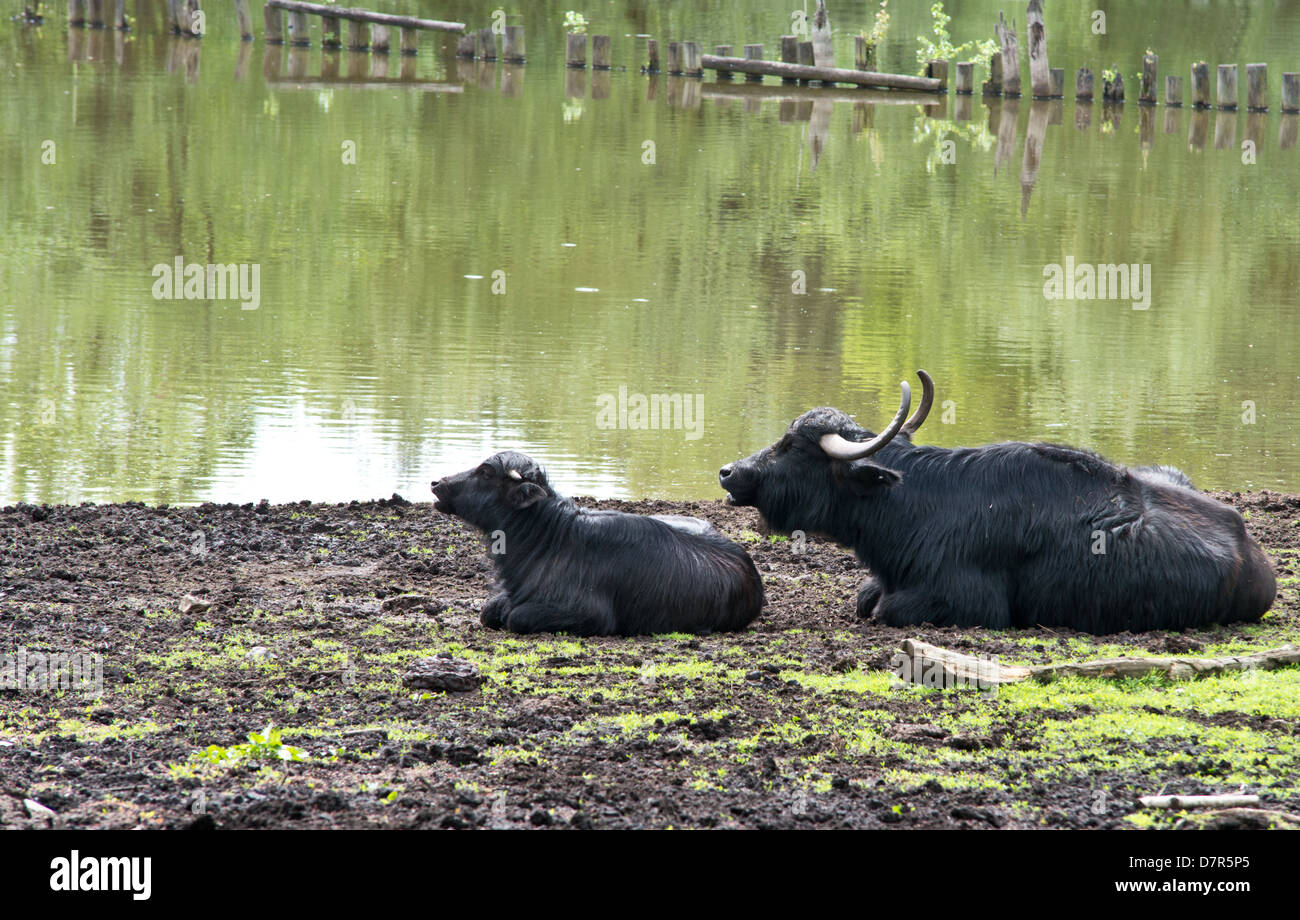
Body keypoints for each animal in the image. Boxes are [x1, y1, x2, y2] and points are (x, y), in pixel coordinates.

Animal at [431, 451, 764, 636]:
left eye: (486, 472)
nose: (436, 483)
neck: (550, 539)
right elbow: (489, 610)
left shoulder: (587, 614)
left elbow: (516, 617)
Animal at [719, 372, 1275, 634]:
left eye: (793, 446)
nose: (729, 472)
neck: (915, 505)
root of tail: (1250, 548)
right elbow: (865, 598)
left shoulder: (964, 603)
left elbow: (882, 610)